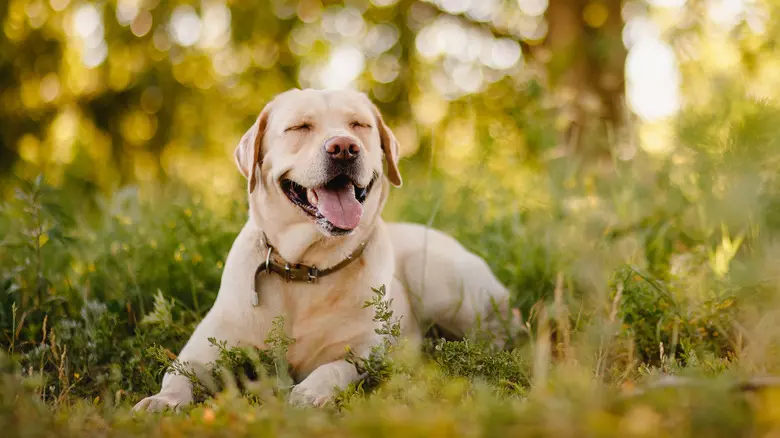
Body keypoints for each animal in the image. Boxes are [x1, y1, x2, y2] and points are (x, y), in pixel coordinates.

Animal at [134, 88, 516, 410]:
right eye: (300, 127)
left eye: (358, 125)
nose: (344, 147)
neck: (304, 268)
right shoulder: (203, 350)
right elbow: (178, 375)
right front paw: (161, 401)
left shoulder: (364, 352)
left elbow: (334, 367)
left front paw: (309, 393)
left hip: (443, 283)